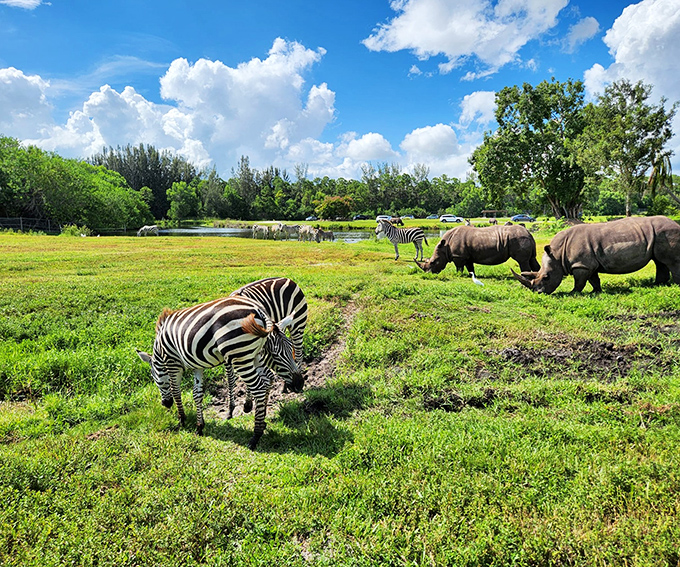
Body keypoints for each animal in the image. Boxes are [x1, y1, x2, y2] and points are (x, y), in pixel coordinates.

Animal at [137, 295, 303, 450]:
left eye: (154, 377)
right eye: (276, 354)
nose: (165, 403)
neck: (160, 349)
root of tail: (260, 311)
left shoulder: (172, 362)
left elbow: (176, 391)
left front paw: (182, 420)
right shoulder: (198, 365)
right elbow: (197, 394)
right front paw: (199, 426)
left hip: (239, 355)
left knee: (259, 387)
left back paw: (255, 436)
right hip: (254, 355)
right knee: (267, 380)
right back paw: (261, 423)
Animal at [229, 277, 307, 413]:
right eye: (275, 355)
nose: (298, 384)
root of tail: (287, 279)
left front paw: (248, 403)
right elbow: (231, 378)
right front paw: (233, 406)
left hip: (298, 325)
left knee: (298, 355)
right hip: (282, 325)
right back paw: (286, 385)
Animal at [512, 216, 680, 294]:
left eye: (546, 277)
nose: (538, 293)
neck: (558, 254)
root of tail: (676, 224)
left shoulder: (581, 265)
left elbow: (579, 282)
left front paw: (573, 293)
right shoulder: (587, 264)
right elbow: (594, 279)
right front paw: (596, 291)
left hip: (667, 232)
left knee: (671, 262)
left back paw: (675, 285)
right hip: (658, 235)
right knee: (660, 261)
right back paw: (658, 285)